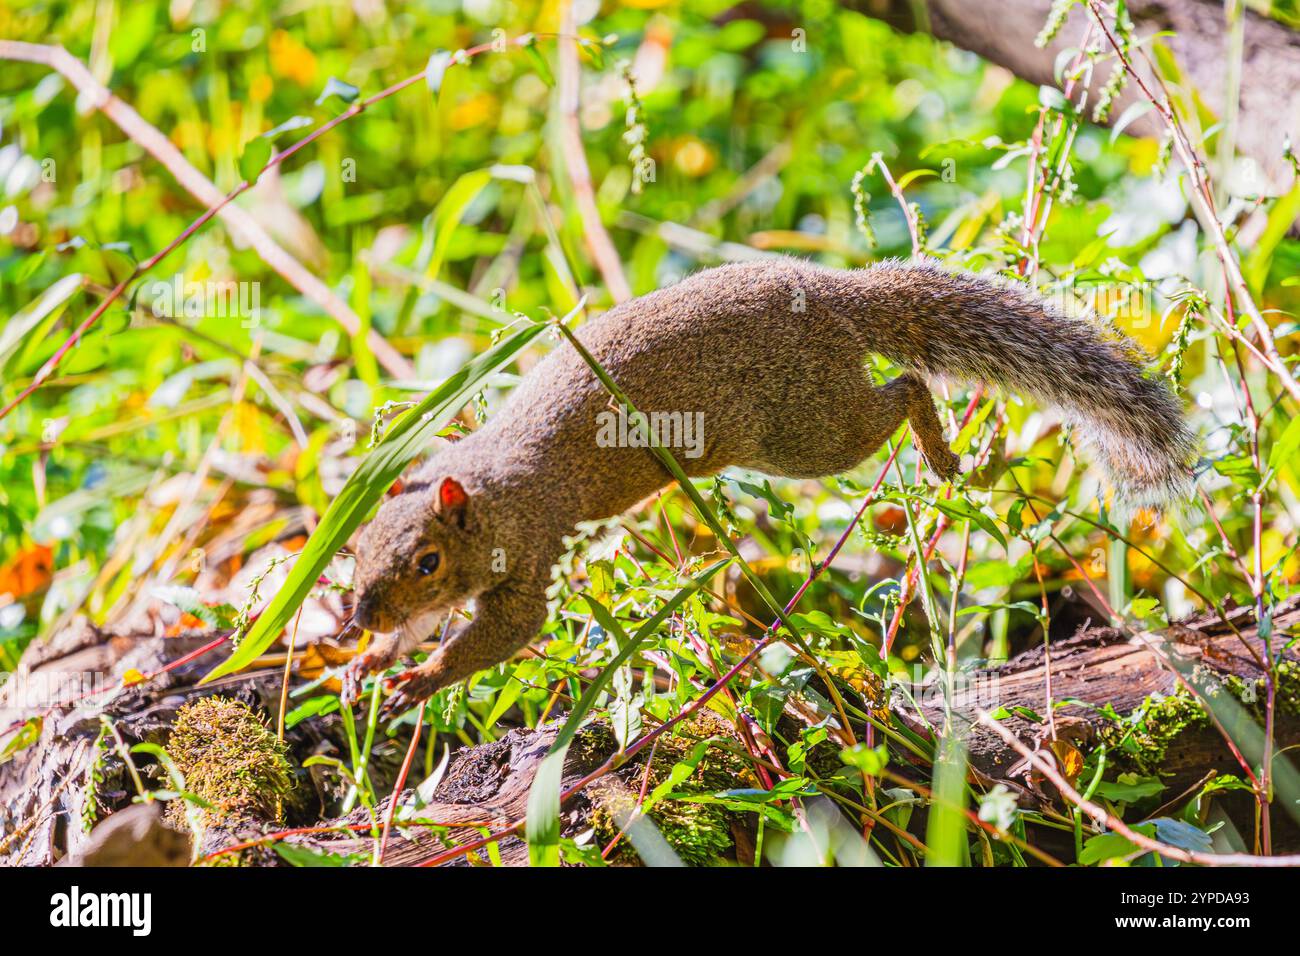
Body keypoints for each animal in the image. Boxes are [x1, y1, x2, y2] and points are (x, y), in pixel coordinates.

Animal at [346, 257, 1195, 714]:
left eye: (426, 561)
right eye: (354, 548)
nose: (357, 616)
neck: (487, 490)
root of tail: (840, 295)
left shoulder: (534, 541)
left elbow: (509, 630)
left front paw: (420, 679)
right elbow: (431, 627)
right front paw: (369, 661)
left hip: (803, 431)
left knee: (906, 389)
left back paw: (939, 451)